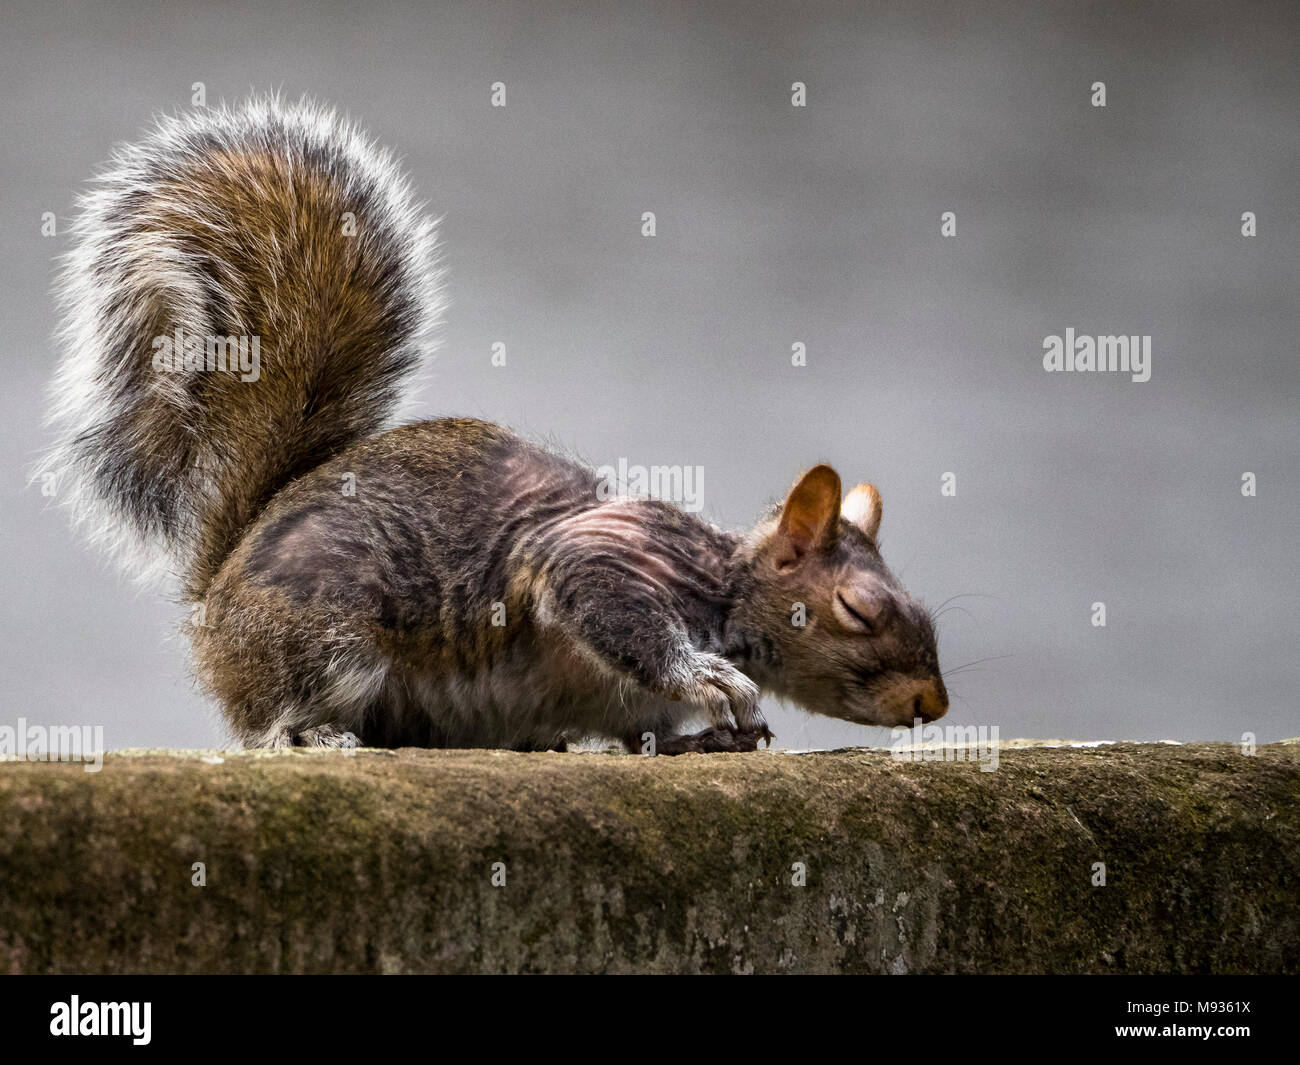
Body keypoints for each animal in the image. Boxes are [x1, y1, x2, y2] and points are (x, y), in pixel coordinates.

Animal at [43, 96, 948, 755]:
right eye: (858, 609)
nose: (932, 704)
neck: (719, 579)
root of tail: (214, 597)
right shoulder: (602, 558)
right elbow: (612, 607)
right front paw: (711, 681)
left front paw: (706, 737)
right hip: (325, 637)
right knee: (269, 717)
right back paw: (310, 732)